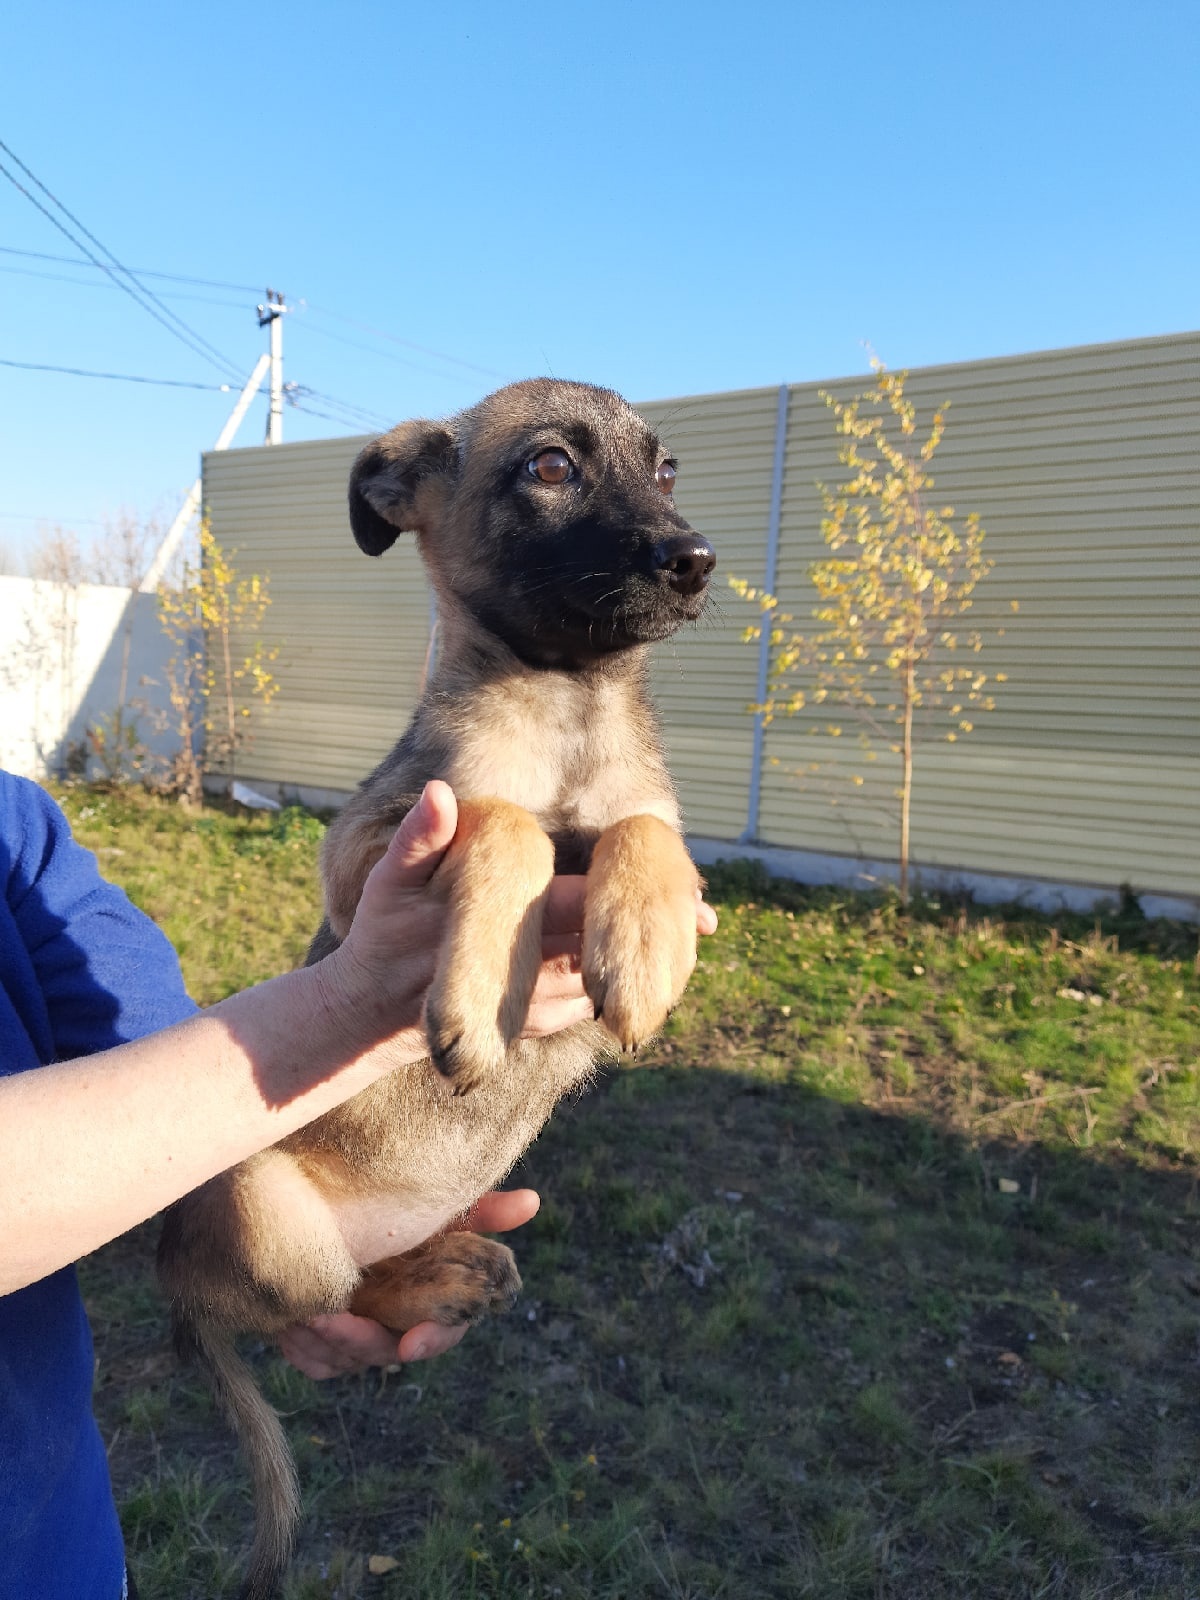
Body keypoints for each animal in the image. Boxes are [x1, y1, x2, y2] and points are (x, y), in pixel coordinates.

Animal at [160, 377, 723, 1600]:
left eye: (666, 469)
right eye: (551, 466)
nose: (698, 557)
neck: (567, 714)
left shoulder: (646, 822)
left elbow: (645, 824)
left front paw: (642, 940)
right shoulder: (368, 849)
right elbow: (502, 817)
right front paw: (478, 989)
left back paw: (445, 1266)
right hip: (261, 1207)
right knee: (334, 1299)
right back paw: (423, 1285)